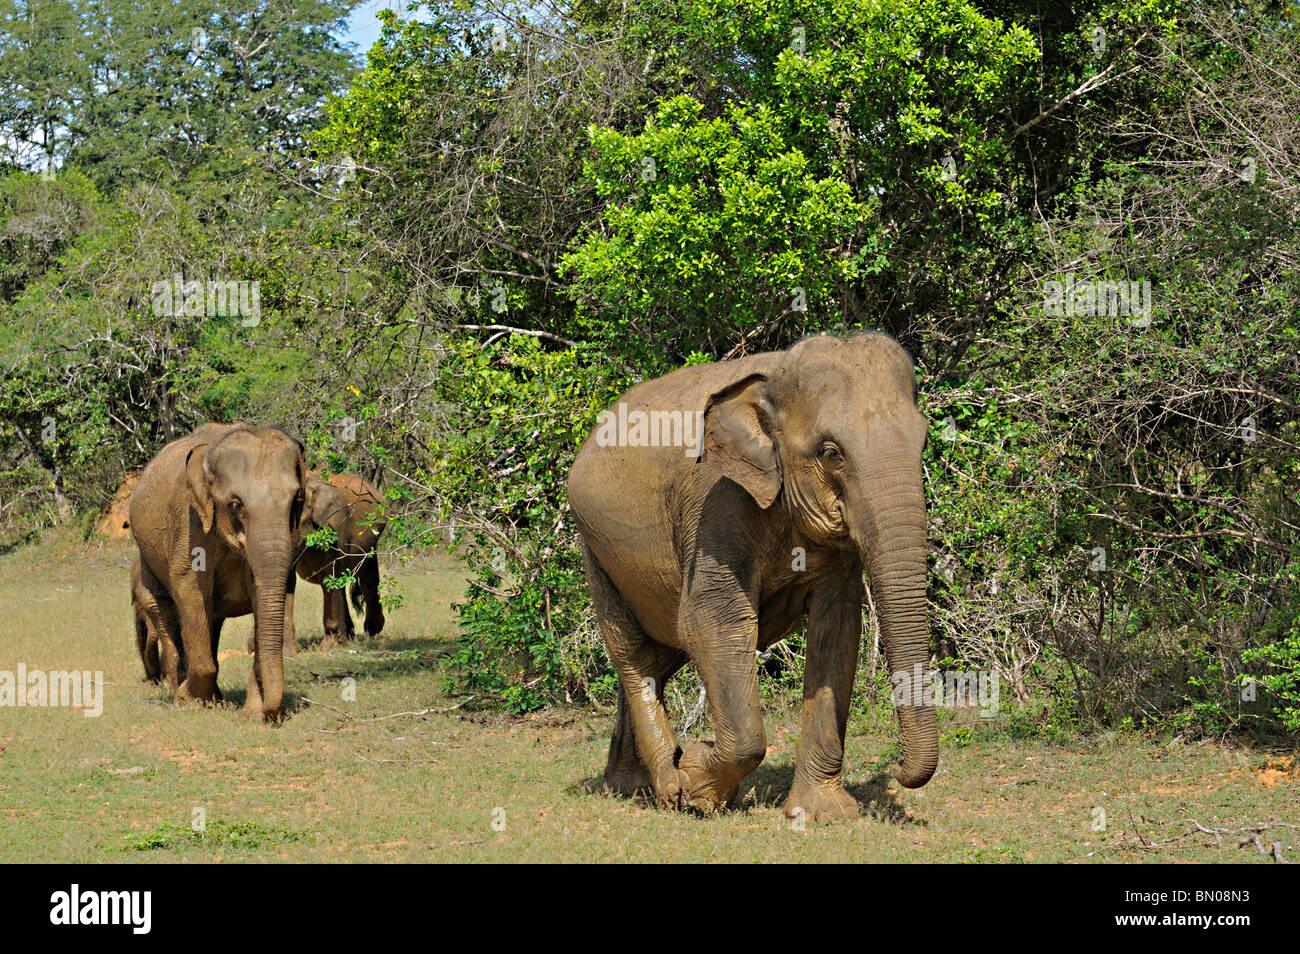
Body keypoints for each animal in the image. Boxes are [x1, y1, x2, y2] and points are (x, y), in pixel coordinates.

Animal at [129, 423, 315, 720]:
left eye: (297, 499)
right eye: (236, 504)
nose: (271, 714)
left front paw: (251, 714)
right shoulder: (190, 523)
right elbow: (190, 591)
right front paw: (189, 702)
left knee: (212, 621)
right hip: (147, 559)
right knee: (167, 614)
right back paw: (182, 691)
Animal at [286, 471, 387, 651]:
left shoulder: (333, 527)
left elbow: (330, 576)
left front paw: (328, 647)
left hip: (372, 536)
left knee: (367, 578)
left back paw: (371, 631)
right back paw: (349, 636)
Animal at [566, 333, 935, 821]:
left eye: (922, 441)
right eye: (831, 453)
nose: (895, 767)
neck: (774, 379)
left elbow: (836, 629)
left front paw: (822, 814)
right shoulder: (715, 503)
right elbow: (712, 622)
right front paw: (700, 786)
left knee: (661, 656)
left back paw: (632, 786)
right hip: (596, 549)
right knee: (634, 655)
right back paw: (666, 787)